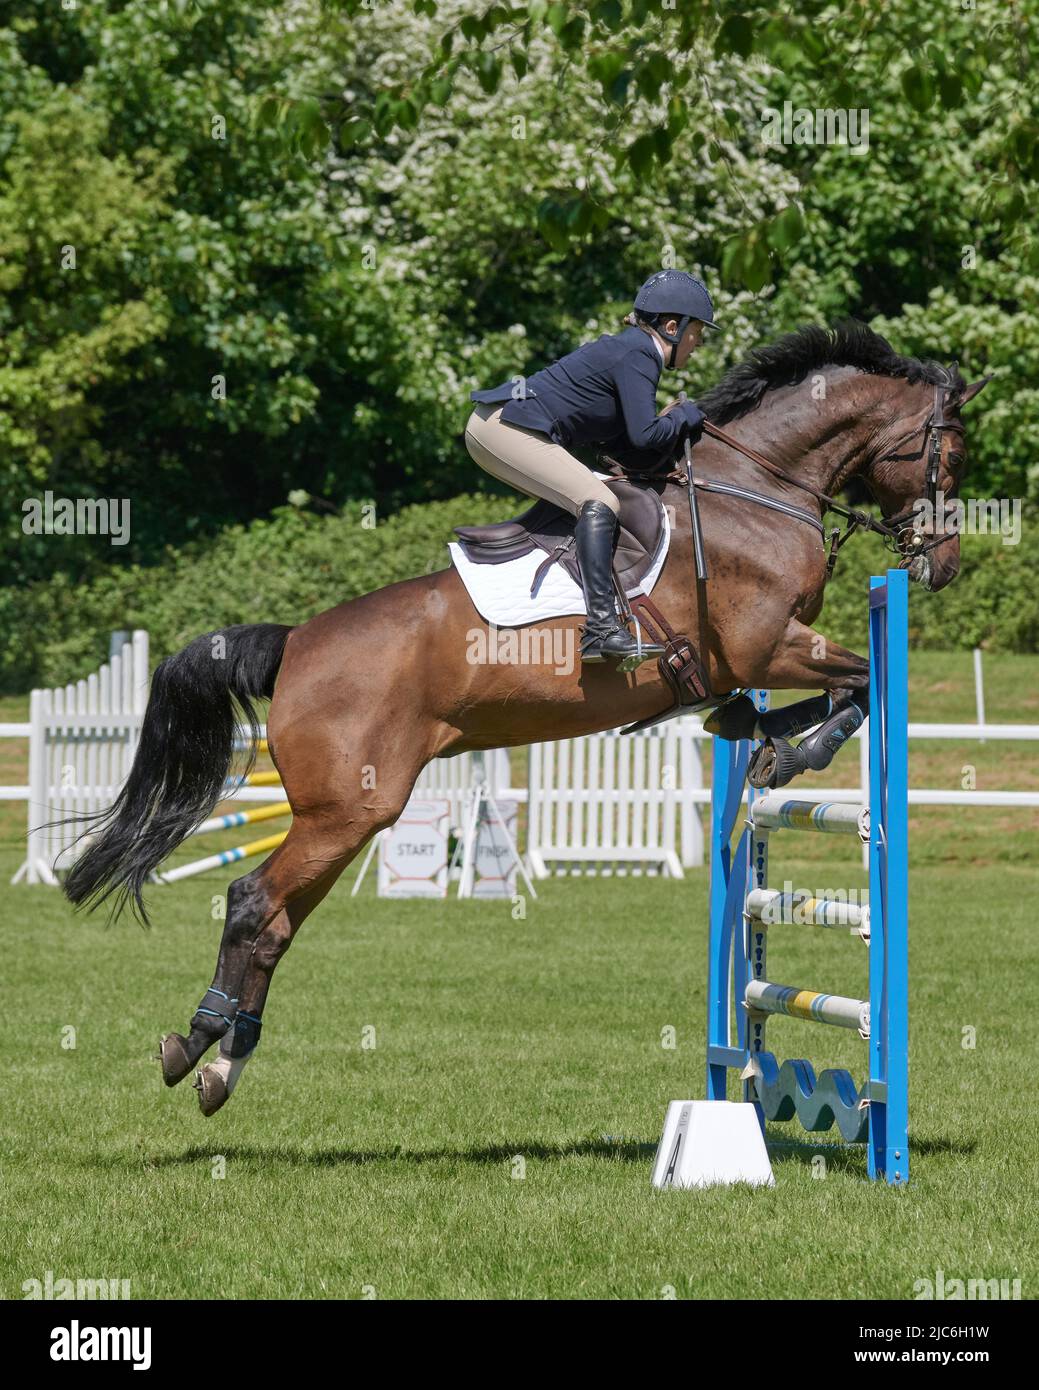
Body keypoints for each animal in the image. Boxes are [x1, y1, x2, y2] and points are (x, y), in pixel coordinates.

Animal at [62, 321, 988, 1115]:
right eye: (949, 454)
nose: (940, 567)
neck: (755, 491)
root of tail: (297, 641)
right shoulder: (767, 646)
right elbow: (858, 684)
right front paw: (788, 755)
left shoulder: (757, 659)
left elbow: (817, 695)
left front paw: (752, 739)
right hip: (350, 807)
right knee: (254, 901)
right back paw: (199, 1041)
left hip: (346, 812)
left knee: (275, 923)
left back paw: (220, 1062)